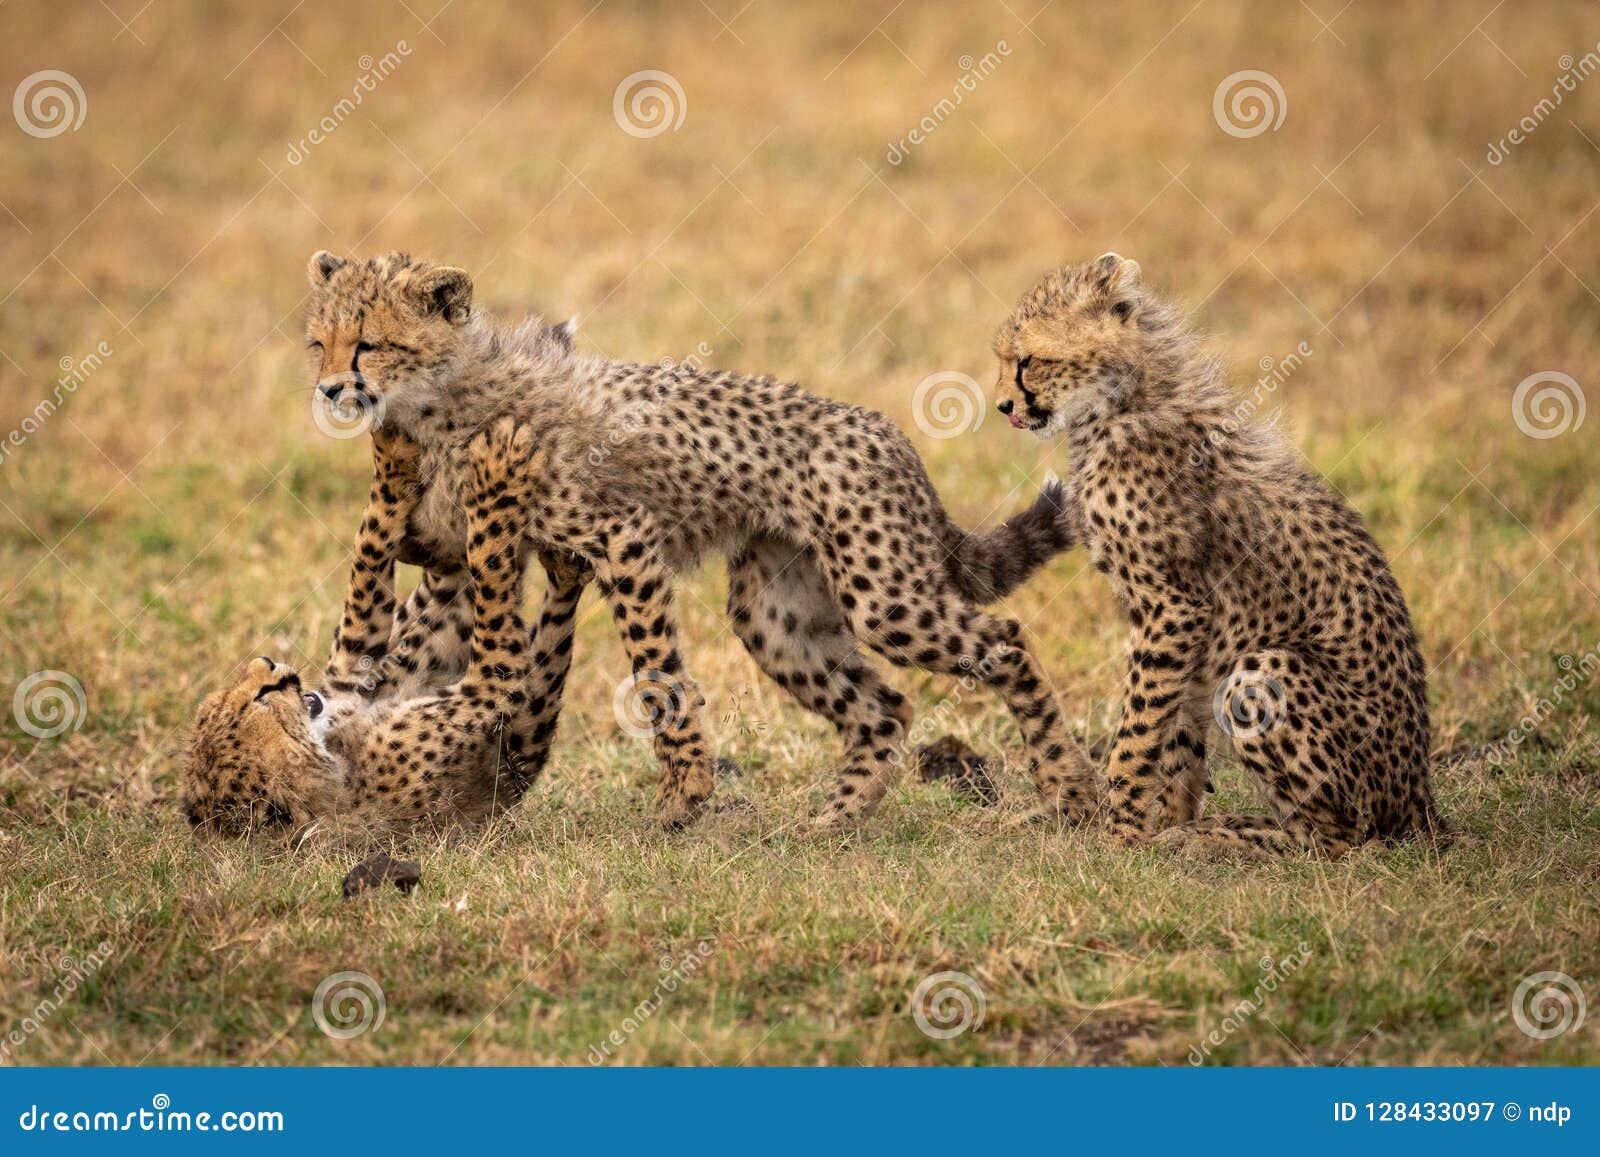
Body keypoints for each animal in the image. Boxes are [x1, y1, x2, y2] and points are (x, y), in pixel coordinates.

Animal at [182, 419, 589, 836]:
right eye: (261, 699)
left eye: (250, 685)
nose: (268, 663)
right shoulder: (487, 686)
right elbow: (492, 597)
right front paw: (496, 474)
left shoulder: (356, 670)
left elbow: (367, 565)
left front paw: (396, 466)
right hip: (530, 724)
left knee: (438, 573)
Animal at [302, 248, 1102, 832]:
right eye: (319, 343)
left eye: (369, 344)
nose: (332, 388)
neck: (447, 397)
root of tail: (890, 435)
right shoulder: (458, 568)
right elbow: (411, 658)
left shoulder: (620, 536)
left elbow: (655, 670)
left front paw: (684, 790)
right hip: (774, 613)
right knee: (884, 708)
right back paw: (831, 823)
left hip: (881, 595)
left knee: (1005, 641)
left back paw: (1068, 789)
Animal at [990, 253, 1444, 857]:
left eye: (1029, 360)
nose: (1003, 406)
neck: (1121, 403)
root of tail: (1422, 801)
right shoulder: (1183, 619)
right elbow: (1176, 728)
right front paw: (1164, 818)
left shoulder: (1173, 606)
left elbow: (1139, 726)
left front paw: (1120, 834)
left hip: (1266, 670)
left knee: (1338, 838)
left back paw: (1220, 836)